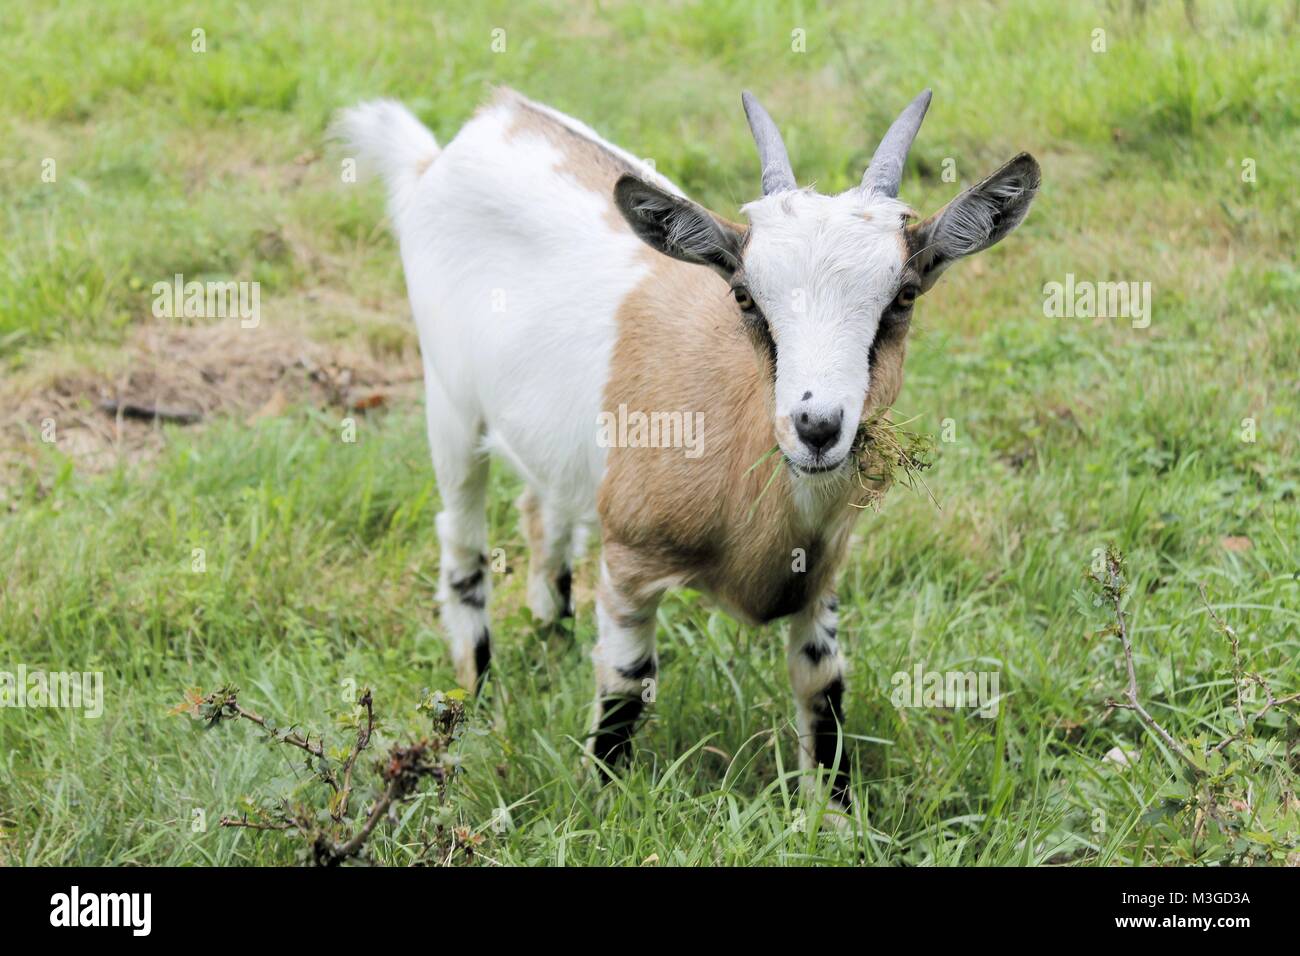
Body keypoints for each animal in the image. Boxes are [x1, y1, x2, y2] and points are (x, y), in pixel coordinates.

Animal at [335, 87, 1039, 808]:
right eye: (745, 296)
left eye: (904, 295)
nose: (816, 426)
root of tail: (474, 130)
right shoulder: (628, 562)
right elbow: (626, 683)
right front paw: (601, 801)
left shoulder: (822, 576)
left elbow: (823, 686)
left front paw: (834, 813)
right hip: (449, 405)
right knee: (462, 543)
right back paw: (473, 696)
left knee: (544, 513)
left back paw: (552, 634)